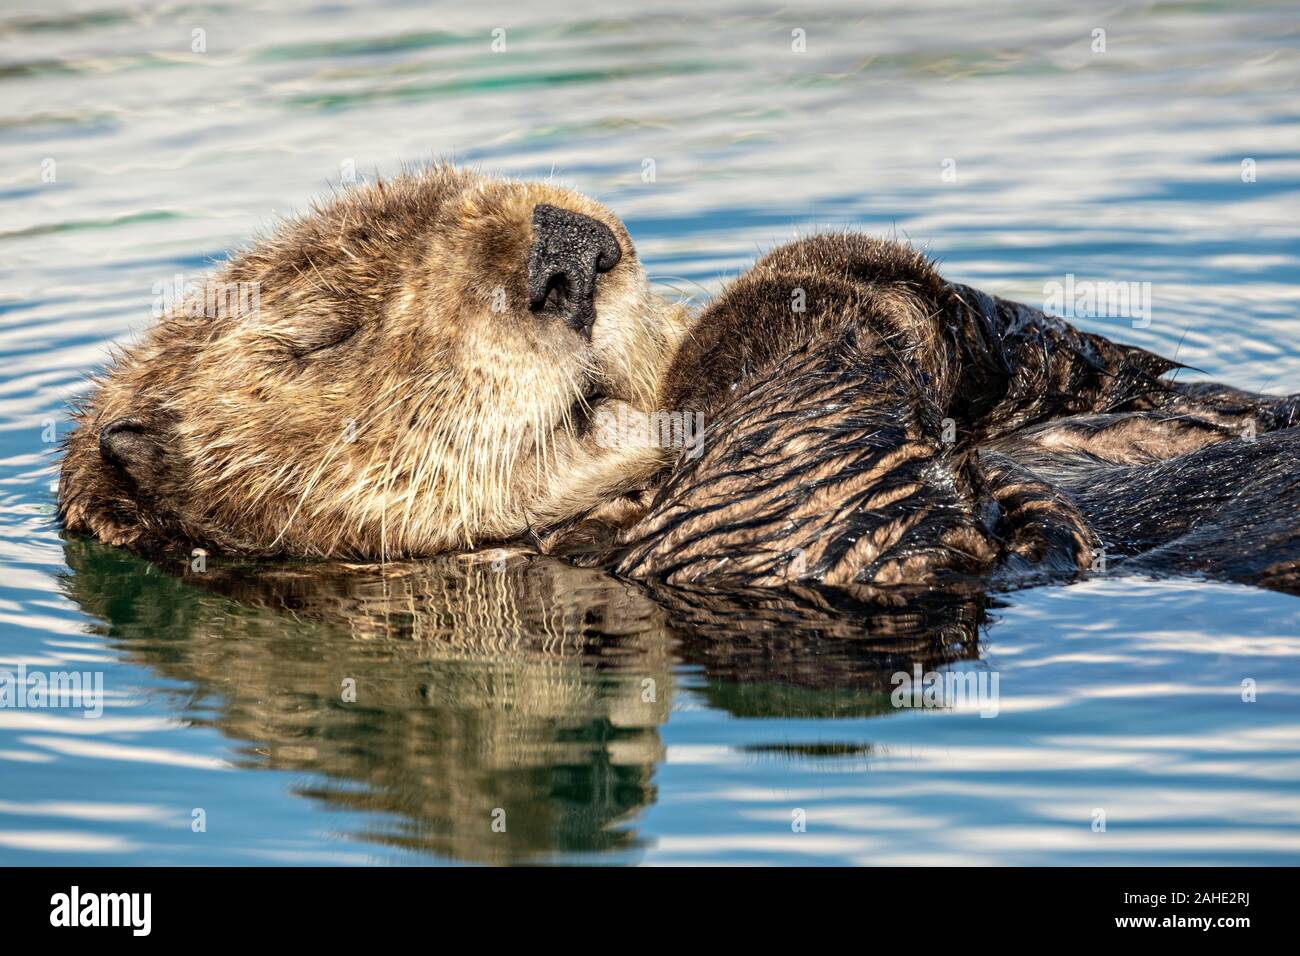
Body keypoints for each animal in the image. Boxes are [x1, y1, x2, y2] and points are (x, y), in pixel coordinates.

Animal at [59, 169, 1300, 594]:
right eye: (320, 335)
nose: (568, 249)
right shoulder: (757, 547)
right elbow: (812, 504)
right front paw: (796, 287)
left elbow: (1084, 361)